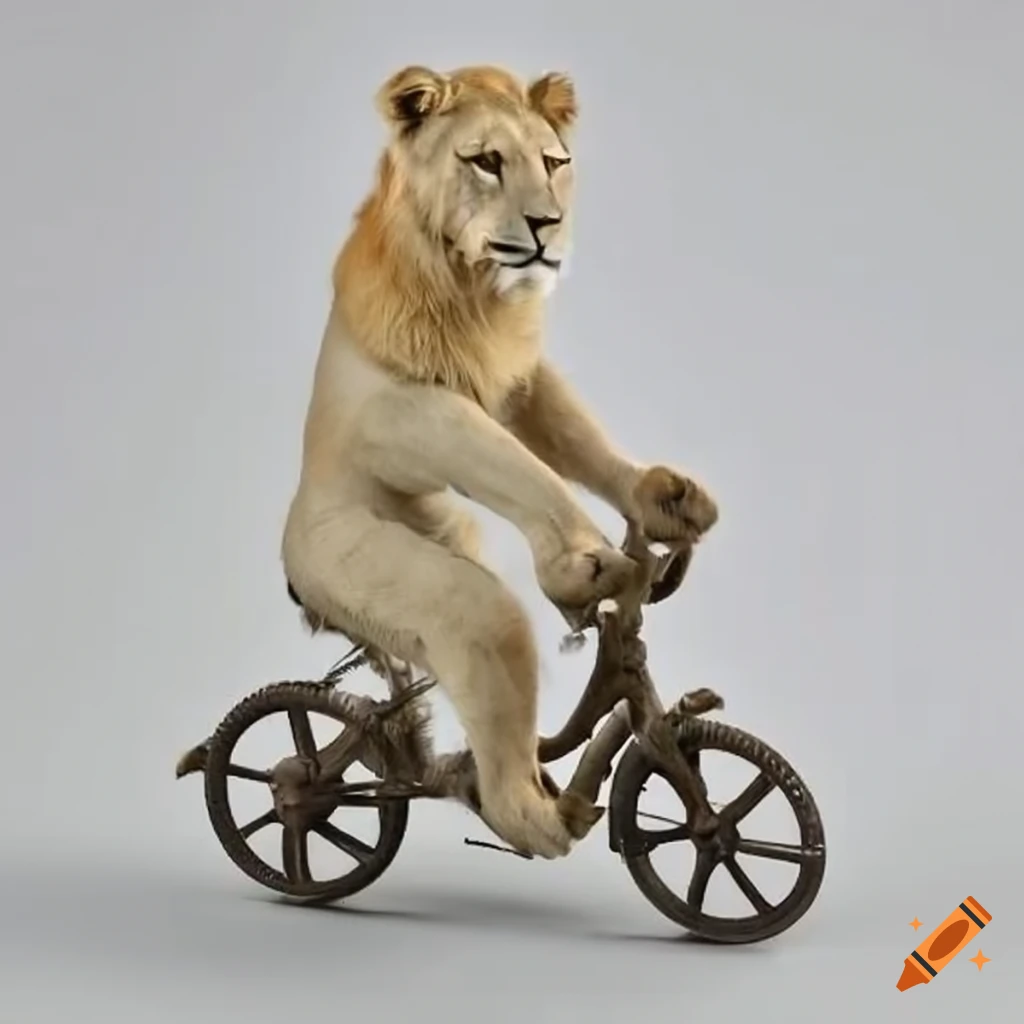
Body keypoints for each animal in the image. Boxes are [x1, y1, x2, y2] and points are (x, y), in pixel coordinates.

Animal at [280, 64, 719, 860]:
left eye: (554, 162)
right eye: (486, 161)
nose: (547, 224)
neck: (472, 286)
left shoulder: (516, 376)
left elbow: (565, 431)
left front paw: (664, 503)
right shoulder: (402, 403)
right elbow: (511, 463)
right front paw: (584, 567)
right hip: (366, 570)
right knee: (479, 638)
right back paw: (538, 815)